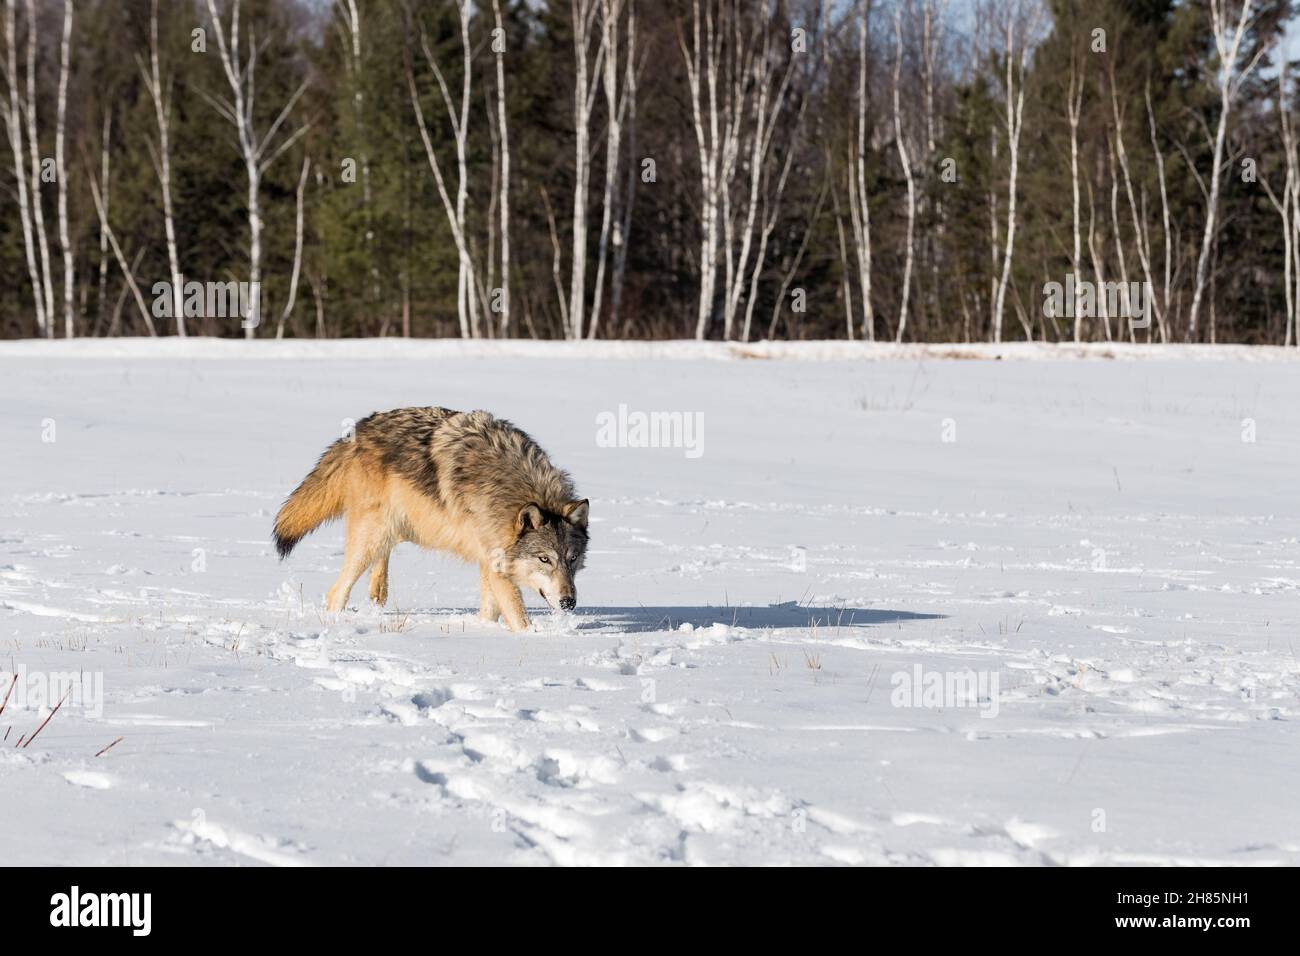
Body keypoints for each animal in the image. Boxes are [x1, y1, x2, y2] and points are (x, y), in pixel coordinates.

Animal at [273, 407, 589, 631]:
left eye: (572, 559)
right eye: (544, 559)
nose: (569, 602)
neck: (515, 488)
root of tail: (359, 428)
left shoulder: (489, 561)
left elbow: (490, 611)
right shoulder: (495, 565)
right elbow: (519, 619)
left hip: (396, 531)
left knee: (380, 569)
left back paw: (377, 596)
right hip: (371, 538)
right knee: (336, 592)